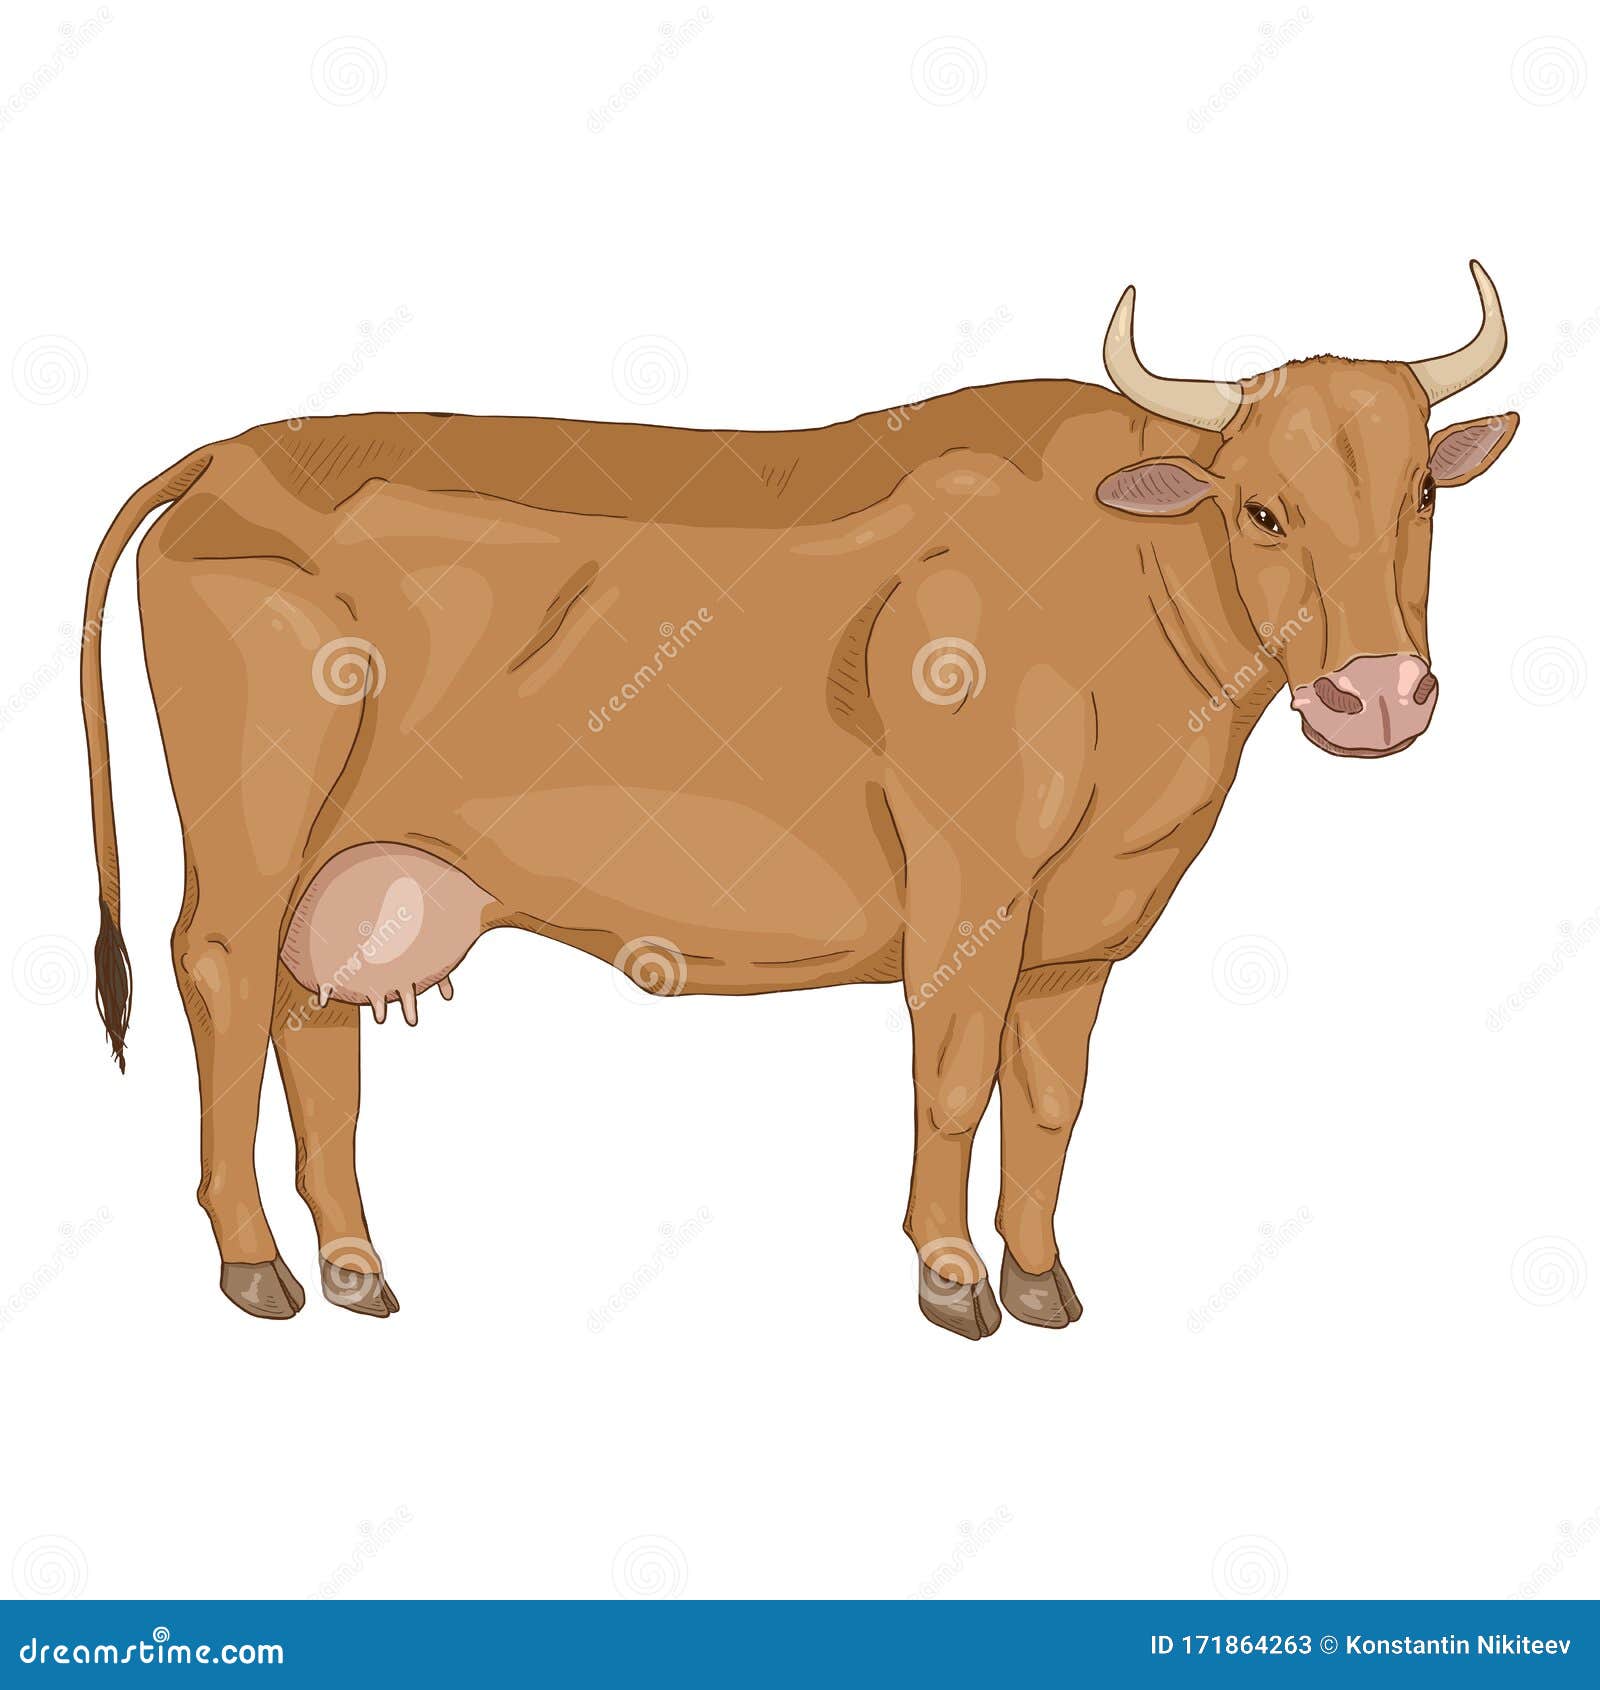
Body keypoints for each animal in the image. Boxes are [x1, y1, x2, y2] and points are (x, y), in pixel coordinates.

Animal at [81, 263, 1517, 1334]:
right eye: (1262, 508)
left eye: (1422, 491)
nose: (1377, 695)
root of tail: (225, 459)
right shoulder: (969, 884)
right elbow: (953, 1075)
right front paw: (951, 1275)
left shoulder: (1083, 926)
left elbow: (1051, 1096)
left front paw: (1043, 1278)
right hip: (255, 833)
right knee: (221, 979)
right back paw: (256, 1265)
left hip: (348, 861)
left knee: (313, 1023)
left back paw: (355, 1266)